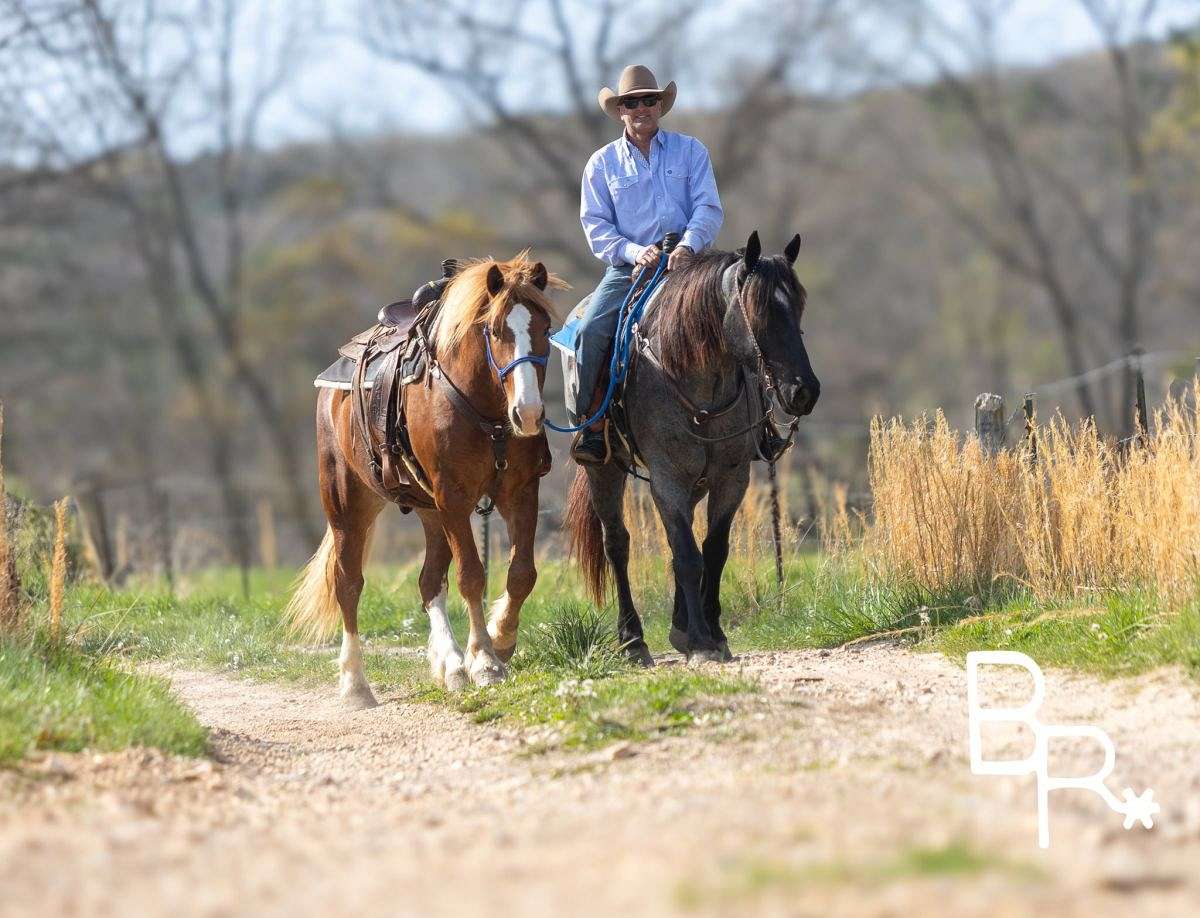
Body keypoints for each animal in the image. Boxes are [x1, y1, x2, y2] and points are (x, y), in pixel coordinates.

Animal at [286, 253, 562, 707]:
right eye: (495, 330)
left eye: (545, 329)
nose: (528, 413)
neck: (485, 411)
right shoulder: (454, 498)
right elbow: (471, 576)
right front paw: (485, 661)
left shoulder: (520, 492)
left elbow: (522, 572)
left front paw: (501, 638)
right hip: (349, 505)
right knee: (348, 584)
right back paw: (356, 683)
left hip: (431, 511)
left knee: (429, 581)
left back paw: (450, 664)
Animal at [565, 231, 819, 664]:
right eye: (761, 312)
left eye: (799, 306)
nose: (804, 391)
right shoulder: (667, 478)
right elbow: (686, 554)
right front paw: (700, 641)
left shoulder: (731, 477)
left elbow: (712, 550)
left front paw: (711, 633)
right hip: (604, 468)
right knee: (617, 543)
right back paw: (633, 640)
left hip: (696, 481)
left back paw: (680, 624)